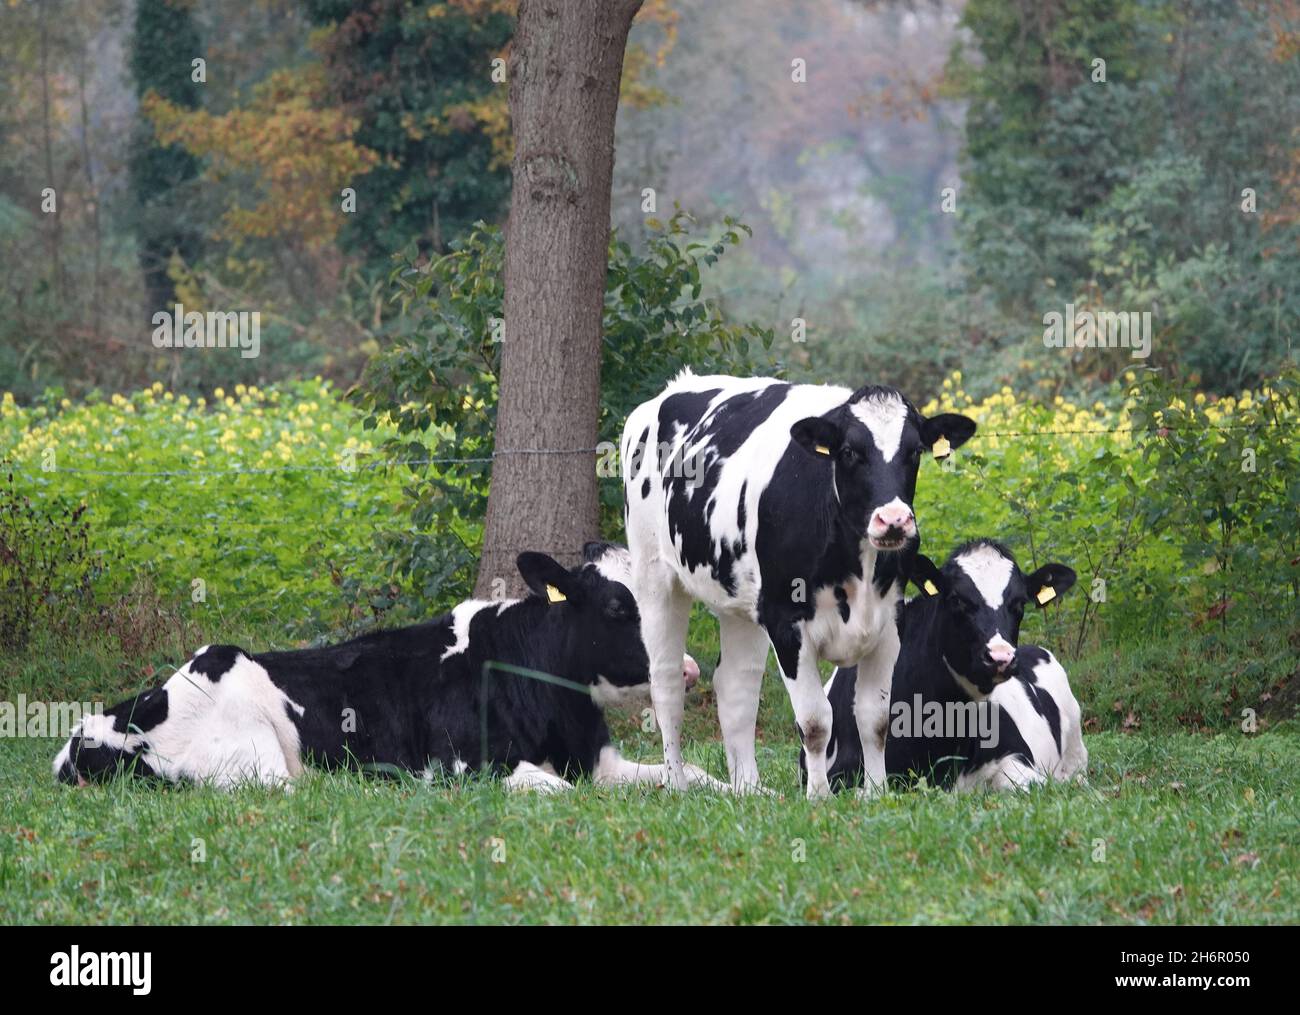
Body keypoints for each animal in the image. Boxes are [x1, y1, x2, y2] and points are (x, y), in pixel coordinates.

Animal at [53, 545, 721, 793]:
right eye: (616, 607)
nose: (688, 669)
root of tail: (89, 729)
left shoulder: (598, 761)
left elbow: (692, 776)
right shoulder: (461, 766)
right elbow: (559, 791)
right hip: (256, 759)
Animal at [622, 370, 976, 798]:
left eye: (914, 452)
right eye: (849, 452)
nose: (893, 520)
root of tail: (671, 389)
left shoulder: (891, 620)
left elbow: (875, 718)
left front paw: (877, 793)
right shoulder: (786, 621)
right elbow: (815, 720)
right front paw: (819, 796)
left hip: (740, 601)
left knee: (736, 686)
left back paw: (749, 790)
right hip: (655, 575)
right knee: (667, 680)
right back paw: (677, 782)